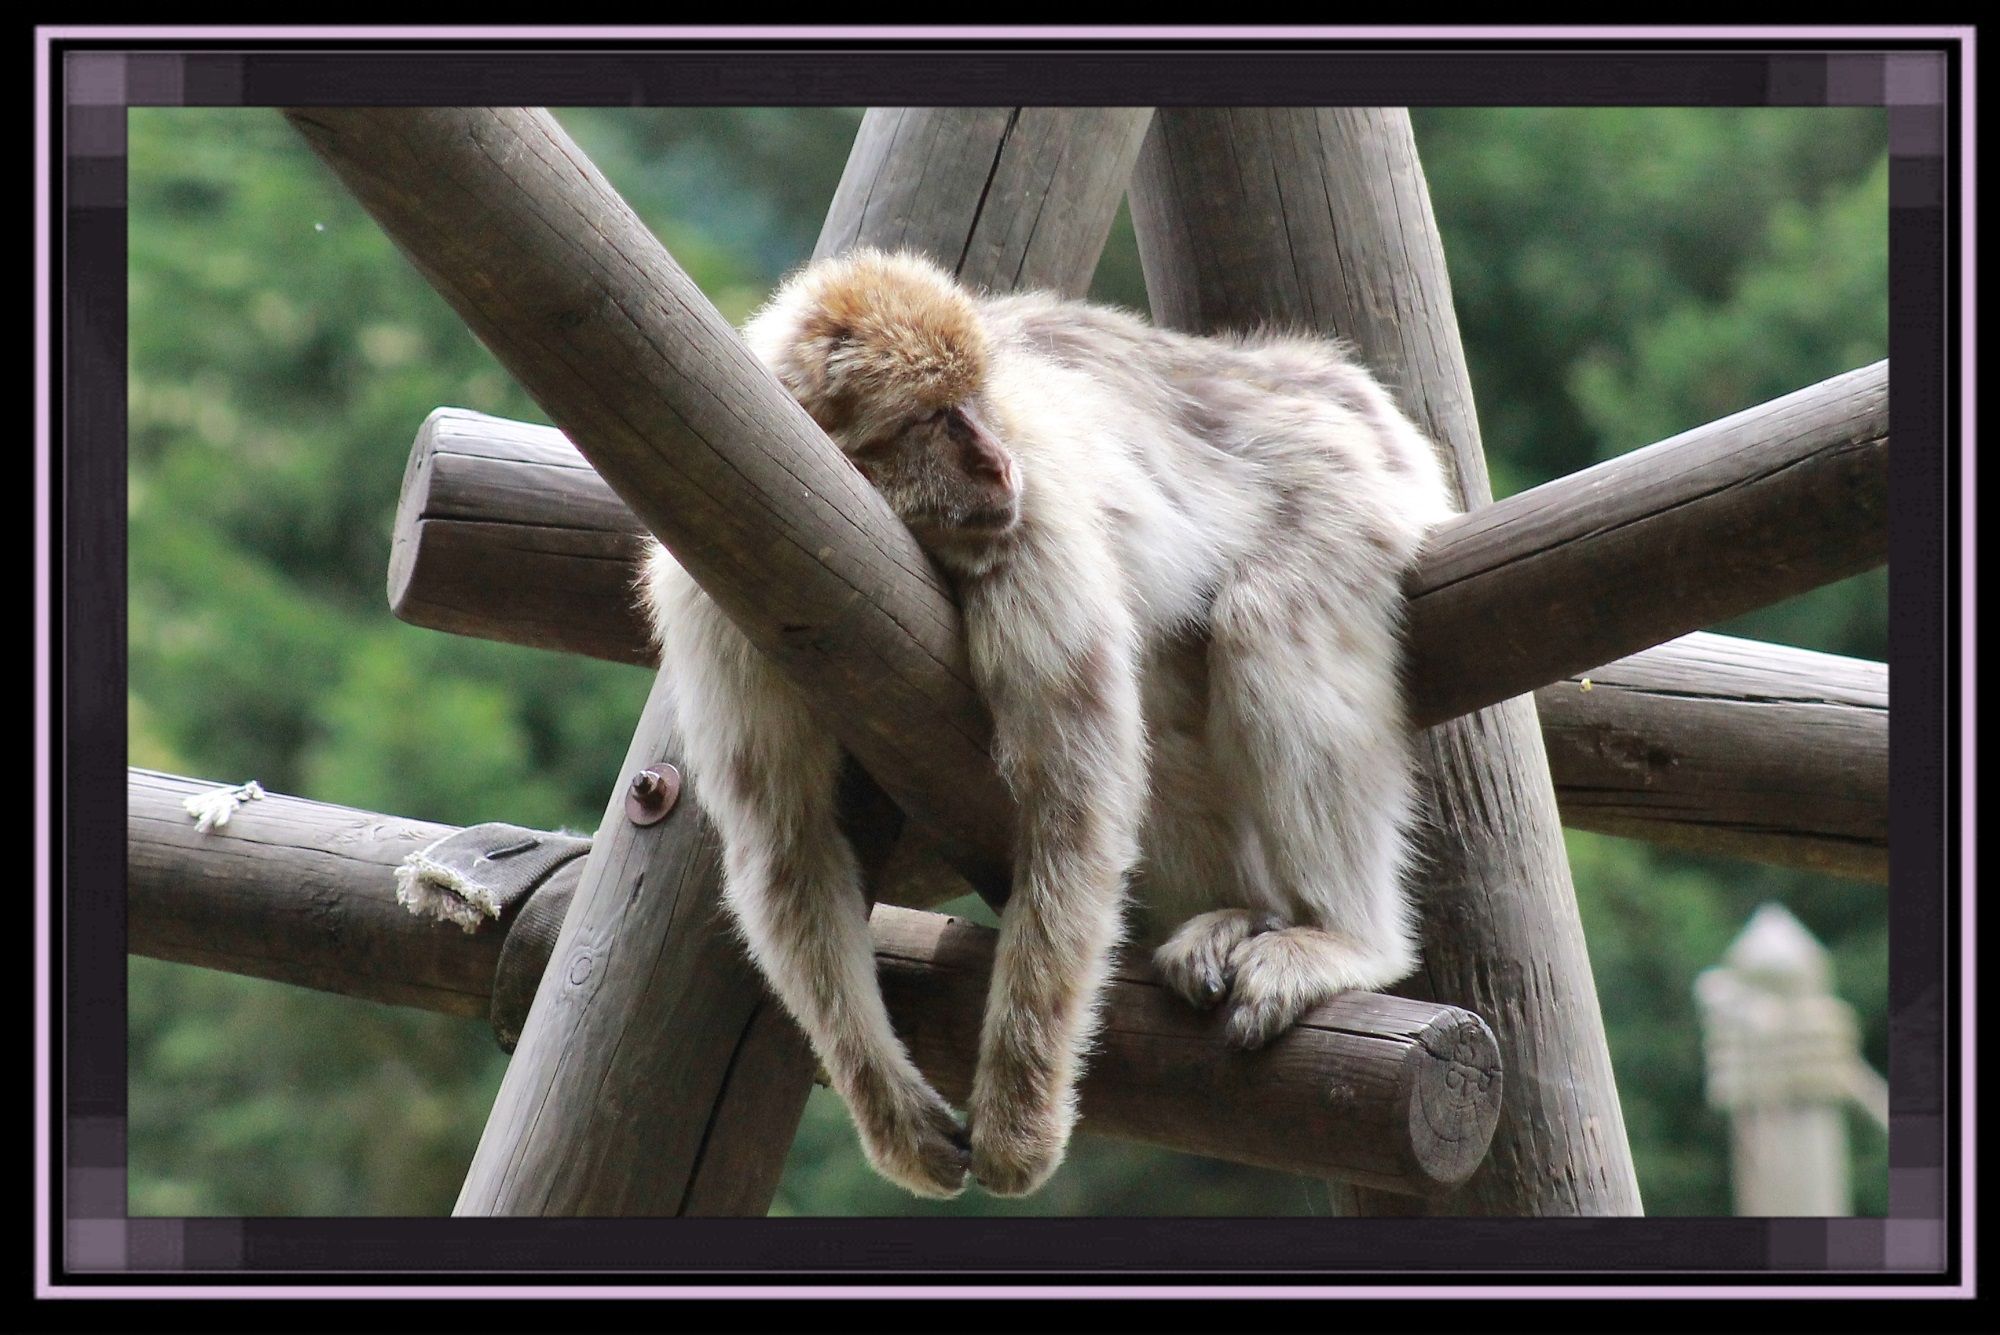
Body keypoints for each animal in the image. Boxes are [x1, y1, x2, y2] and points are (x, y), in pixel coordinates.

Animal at [640, 248, 1457, 1200]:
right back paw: (1236, 911)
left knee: (1269, 616)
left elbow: (1075, 802)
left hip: (1349, 479)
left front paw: (1018, 1121)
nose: (995, 461)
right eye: (938, 417)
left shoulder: (1035, 528)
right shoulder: (719, 593)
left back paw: (1346, 937)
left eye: (978, 401)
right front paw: (889, 1108)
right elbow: (786, 840)